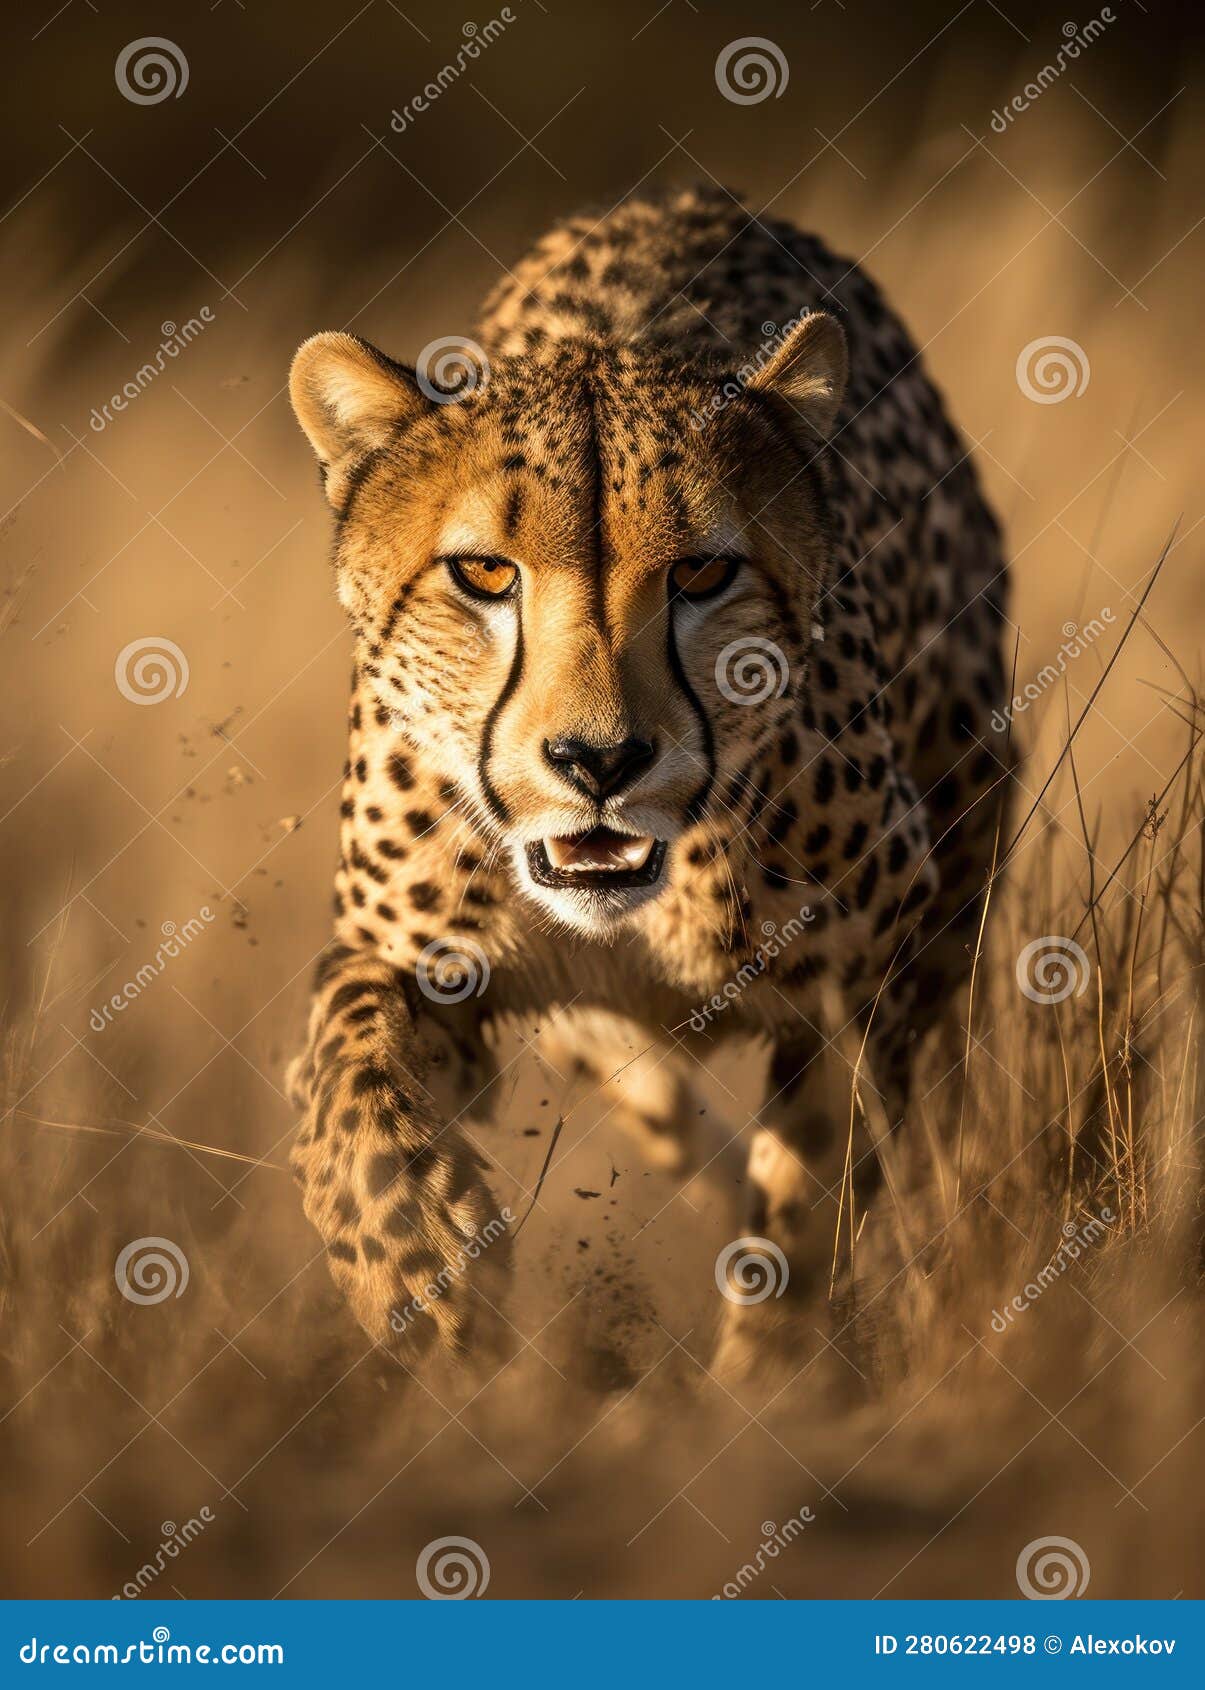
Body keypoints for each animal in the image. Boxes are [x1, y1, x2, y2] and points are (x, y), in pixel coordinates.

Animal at [285, 185, 1011, 1386]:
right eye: (482, 572)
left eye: (702, 572)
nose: (599, 761)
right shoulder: (403, 950)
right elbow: (351, 1066)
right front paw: (421, 1267)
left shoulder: (861, 970)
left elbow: (811, 1185)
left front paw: (768, 1385)